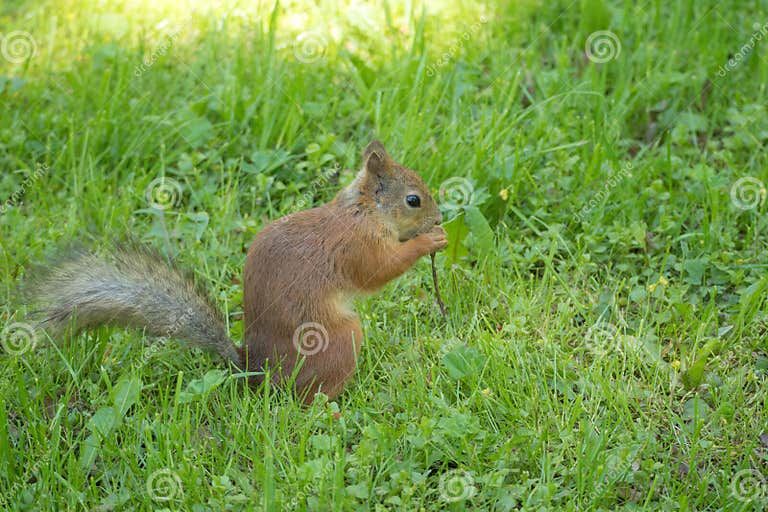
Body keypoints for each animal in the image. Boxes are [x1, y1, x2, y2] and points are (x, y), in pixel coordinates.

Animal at [26, 140, 447, 403]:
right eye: (413, 200)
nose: (440, 218)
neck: (364, 211)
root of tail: (254, 370)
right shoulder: (356, 247)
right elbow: (379, 271)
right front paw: (430, 242)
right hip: (339, 341)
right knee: (308, 401)